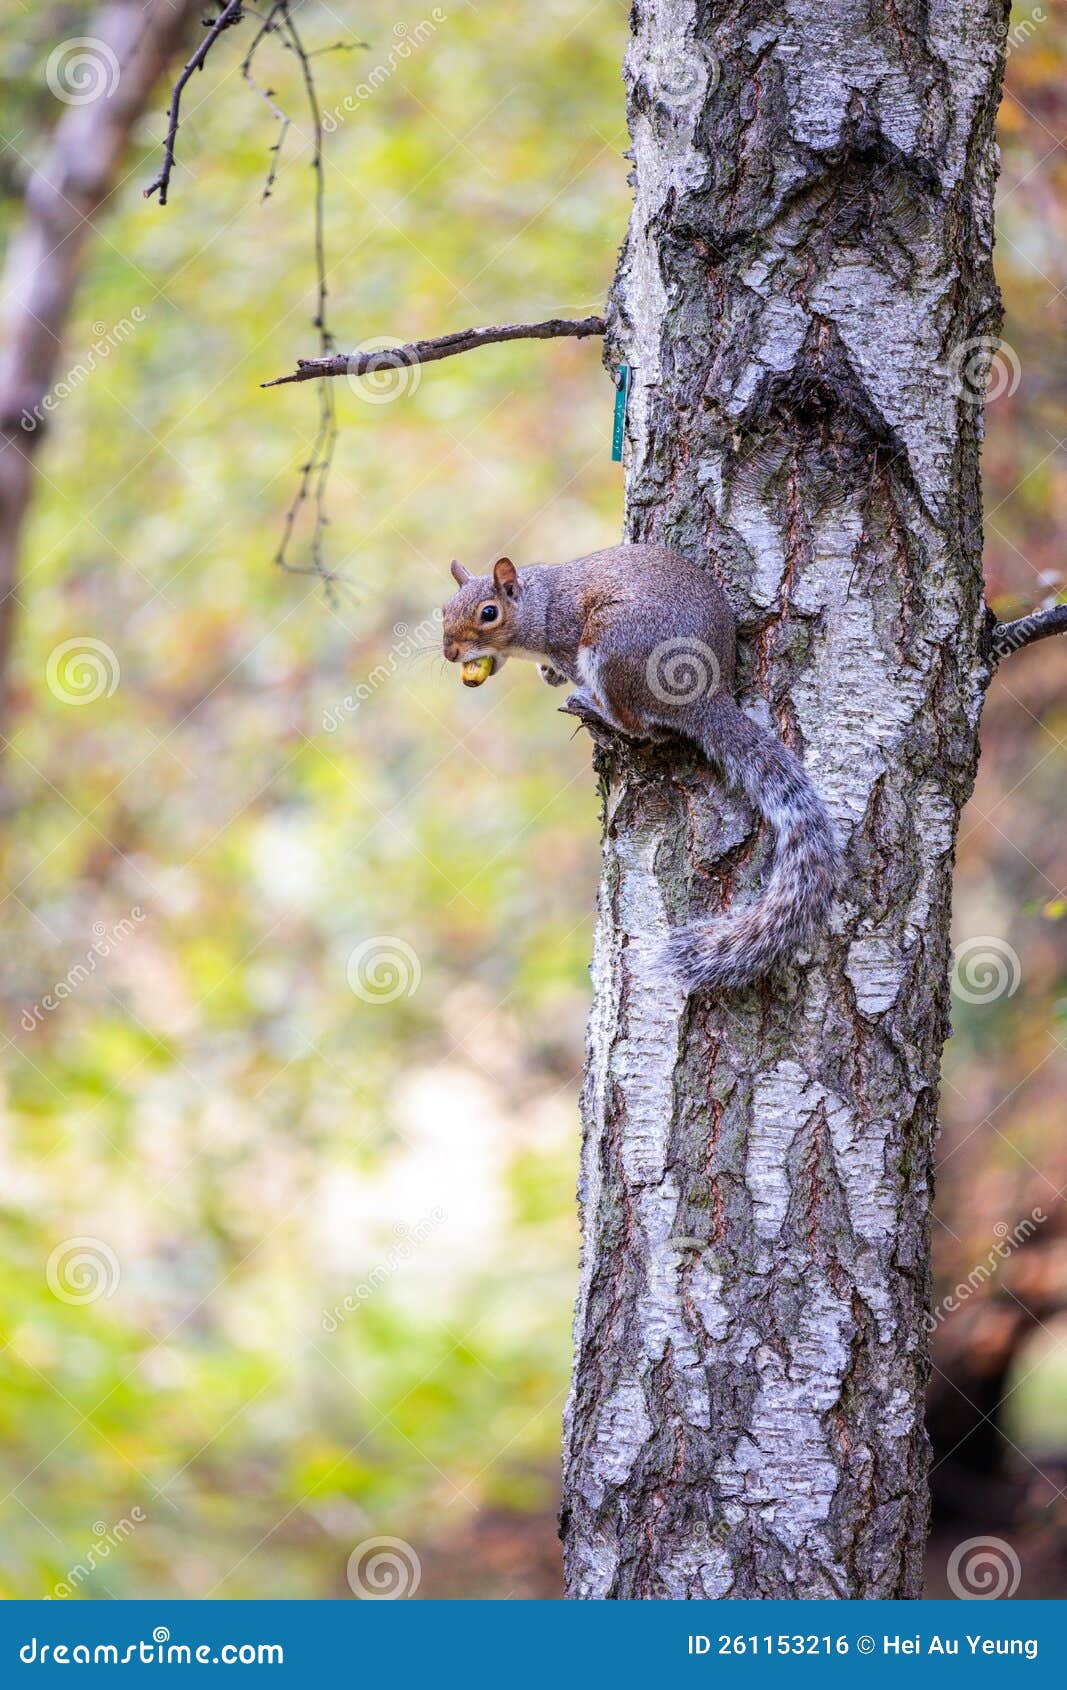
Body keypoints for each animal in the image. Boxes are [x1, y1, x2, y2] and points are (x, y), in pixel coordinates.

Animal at [442, 545, 840, 993]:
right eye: (444, 609)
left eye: (488, 613)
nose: (449, 652)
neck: (537, 606)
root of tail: (706, 698)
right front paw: (546, 674)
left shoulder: (566, 634)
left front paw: (563, 681)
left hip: (614, 646)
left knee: (637, 724)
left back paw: (594, 705)